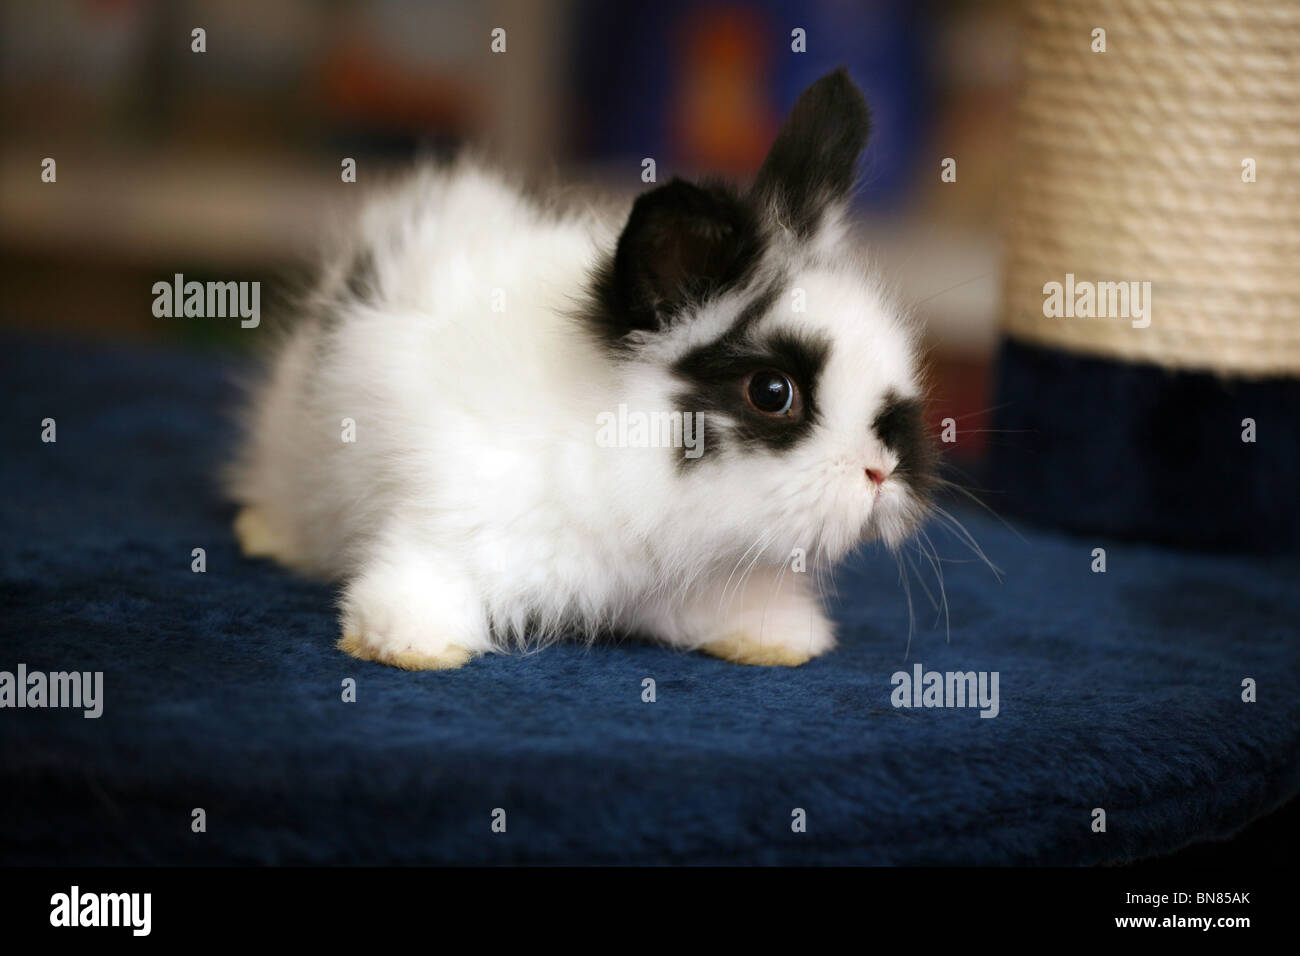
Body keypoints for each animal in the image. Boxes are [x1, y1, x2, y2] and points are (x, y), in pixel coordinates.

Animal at [227, 68, 936, 670]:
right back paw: (263, 534)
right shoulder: (450, 526)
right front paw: (411, 644)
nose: (883, 471)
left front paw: (777, 639)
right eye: (771, 391)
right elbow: (416, 588)